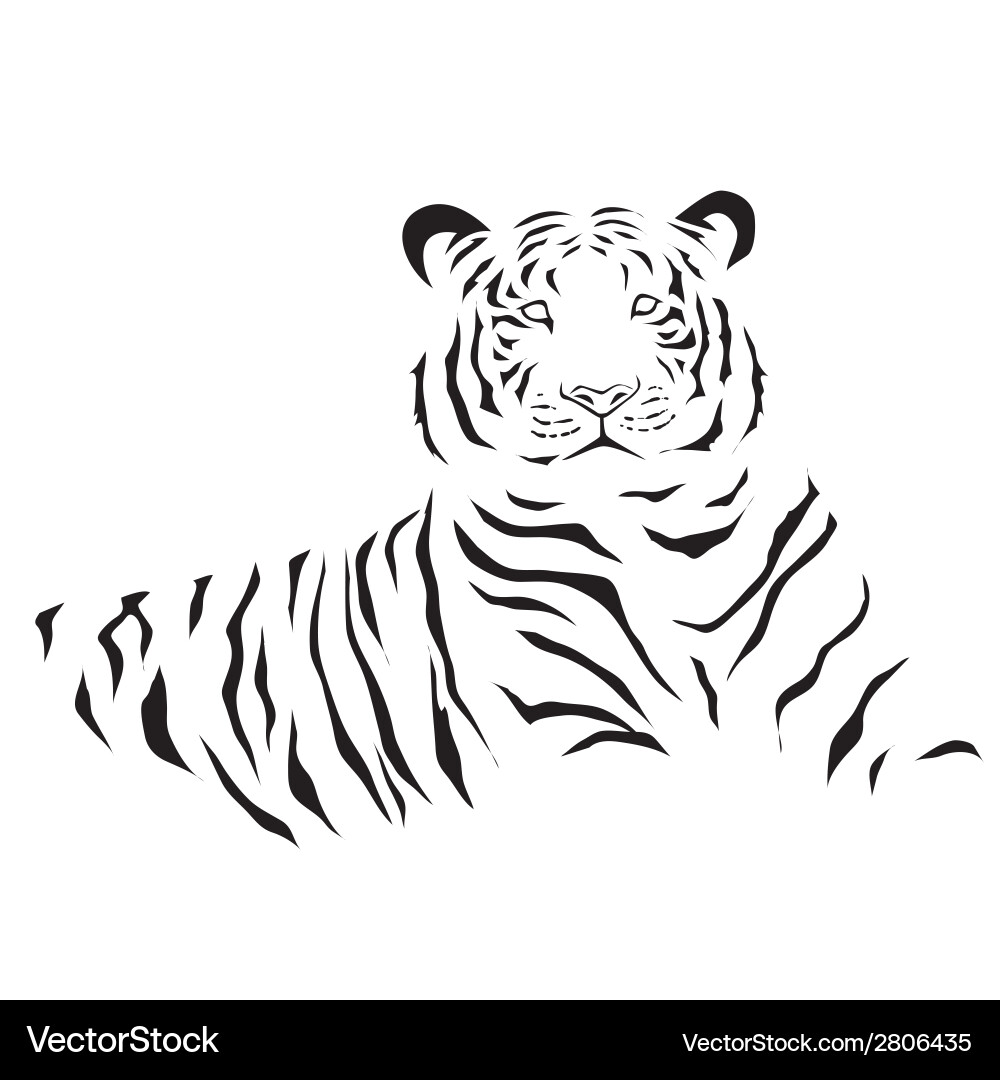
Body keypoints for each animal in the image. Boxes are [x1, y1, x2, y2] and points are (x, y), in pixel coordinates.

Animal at [34, 193, 983, 848]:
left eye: (647, 310)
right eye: (533, 316)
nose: (600, 394)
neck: (661, 544)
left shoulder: (873, 697)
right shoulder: (571, 725)